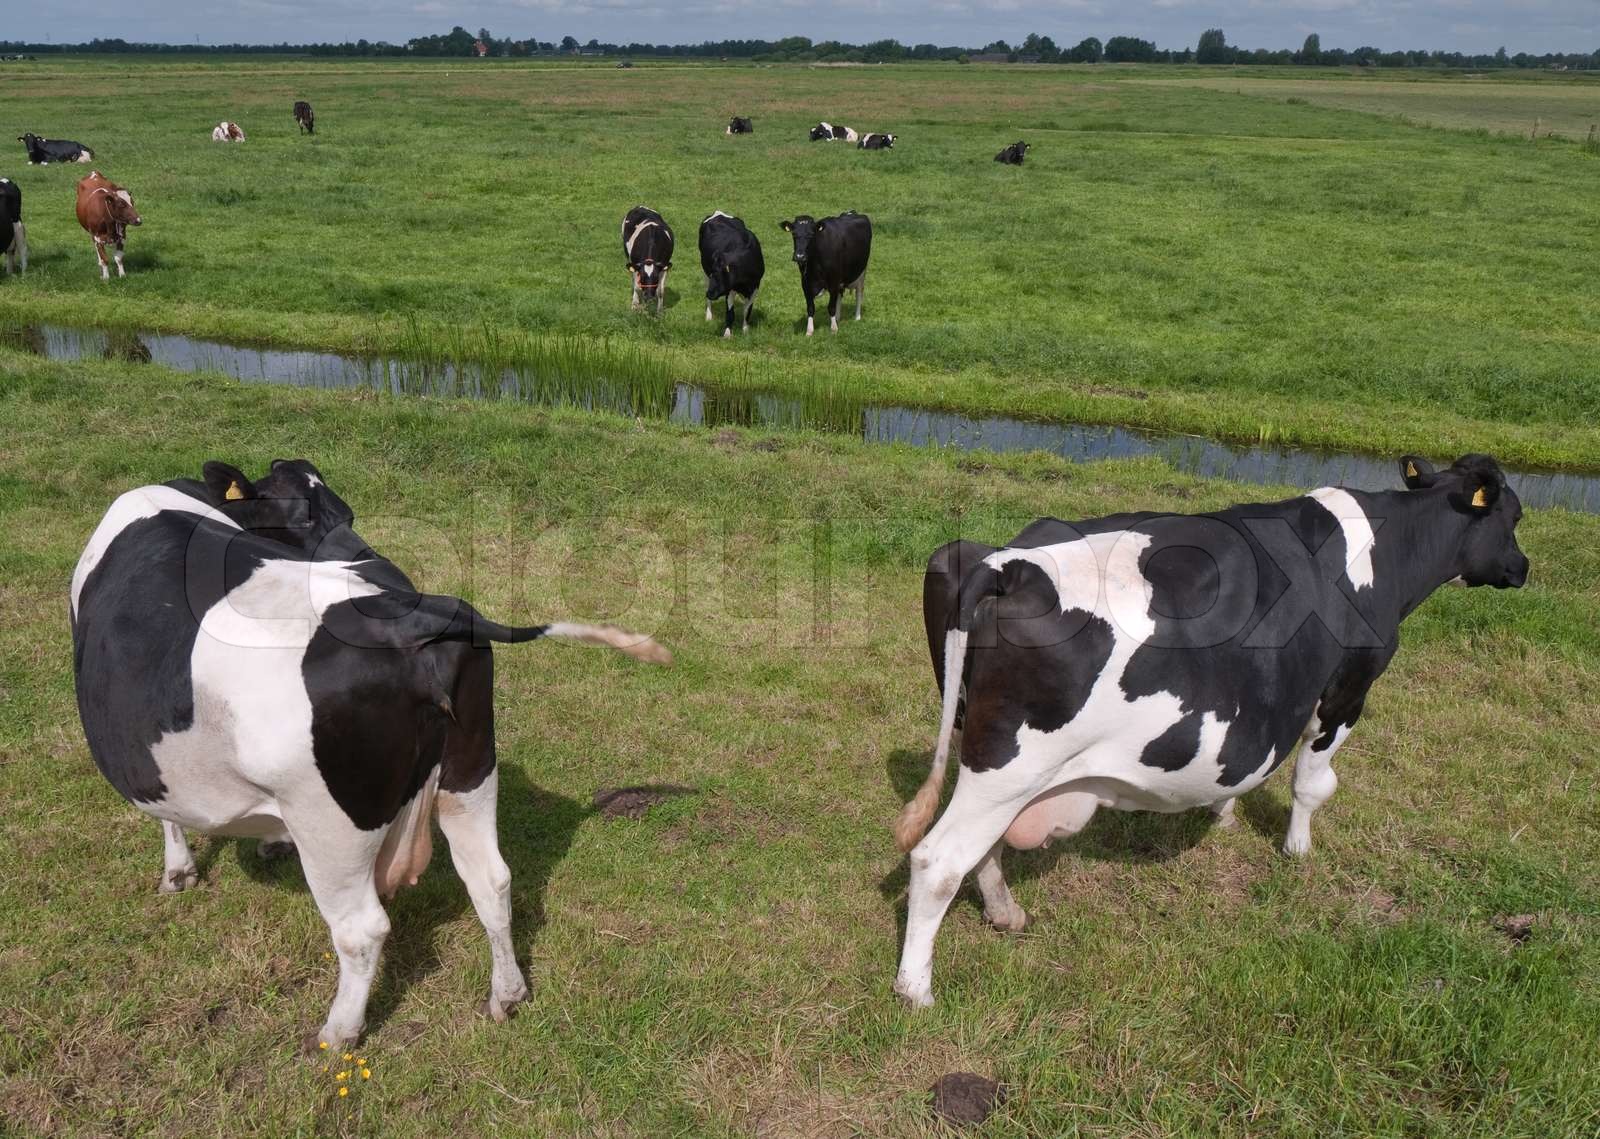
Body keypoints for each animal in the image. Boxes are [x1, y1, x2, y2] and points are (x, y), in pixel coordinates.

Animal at [70, 460, 672, 1049]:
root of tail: (415, 618)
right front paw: (265, 844)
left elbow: (165, 808)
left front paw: (179, 872)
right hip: (471, 769)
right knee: (491, 878)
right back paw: (507, 996)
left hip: (330, 820)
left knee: (362, 928)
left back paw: (338, 1034)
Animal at [892, 455, 1528, 1009]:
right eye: (1514, 517)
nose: (1521, 568)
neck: (1386, 548)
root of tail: (1005, 565)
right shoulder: (1347, 690)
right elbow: (1312, 783)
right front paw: (1298, 852)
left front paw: (1224, 812)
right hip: (1010, 765)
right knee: (938, 860)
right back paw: (915, 989)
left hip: (985, 750)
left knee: (983, 849)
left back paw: (1005, 913)